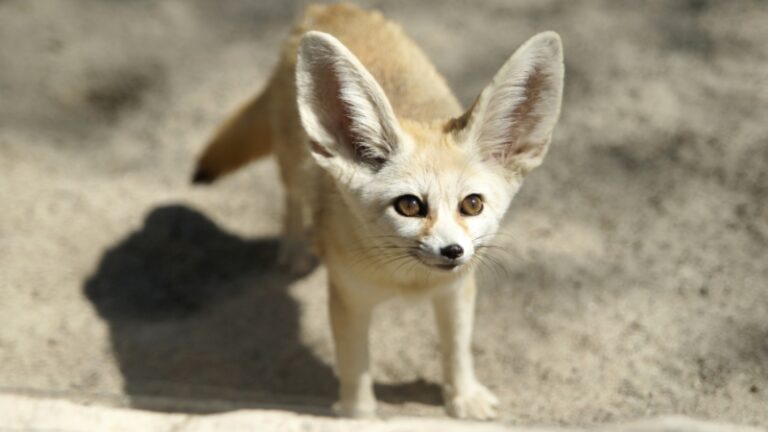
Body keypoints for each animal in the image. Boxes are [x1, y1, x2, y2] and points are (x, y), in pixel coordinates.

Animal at [192, 3, 564, 421]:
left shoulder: (456, 291)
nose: (453, 251)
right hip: (292, 164)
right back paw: (293, 248)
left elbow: (457, 351)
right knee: (291, 198)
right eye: (409, 205)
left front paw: (463, 397)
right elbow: (355, 367)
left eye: (472, 204)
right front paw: (359, 415)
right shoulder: (348, 298)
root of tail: (330, 8)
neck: (410, 283)